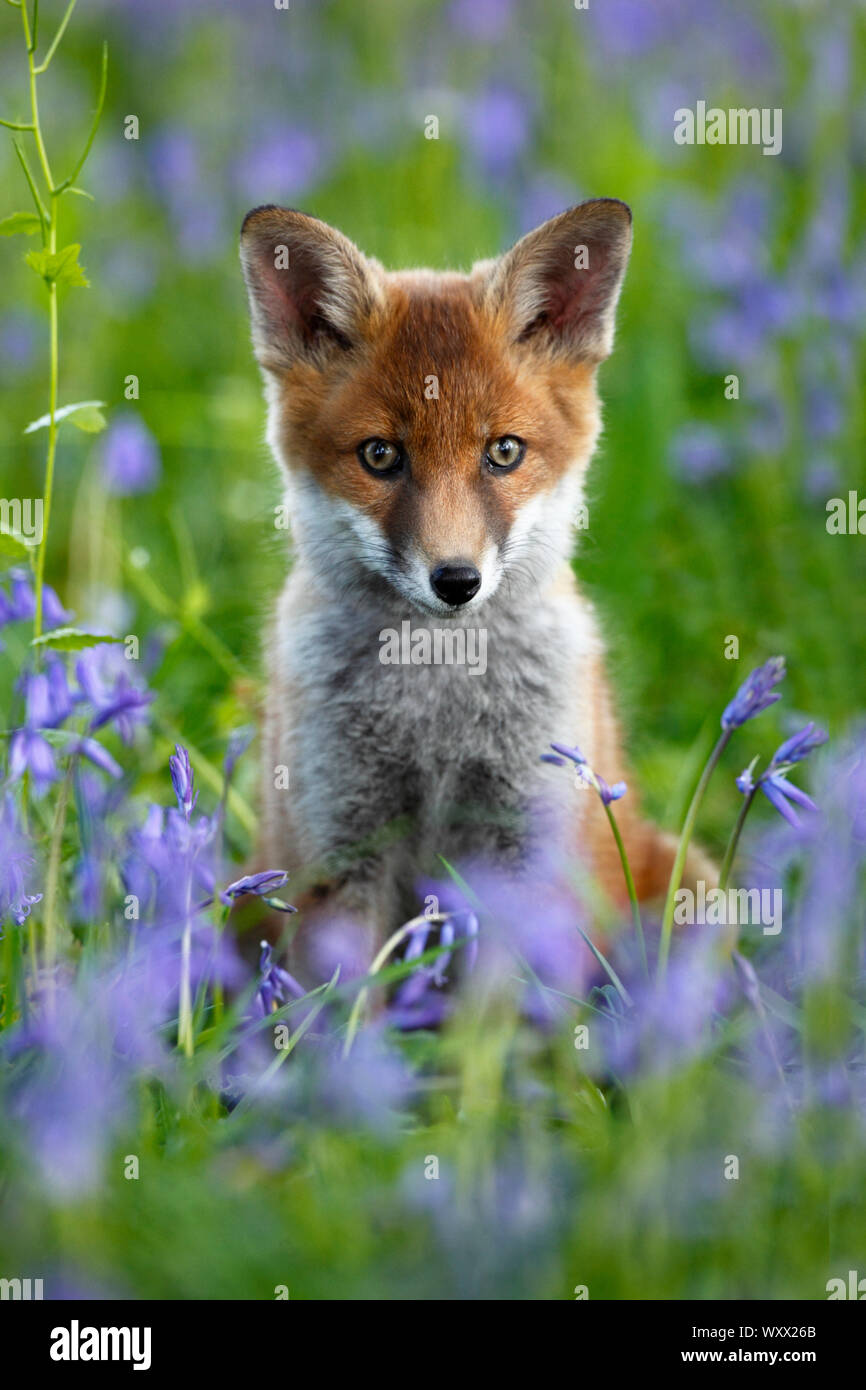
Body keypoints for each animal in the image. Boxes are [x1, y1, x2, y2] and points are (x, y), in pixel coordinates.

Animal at [239, 199, 712, 980]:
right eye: (381, 456)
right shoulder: (342, 846)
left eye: (504, 452)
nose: (457, 581)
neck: (438, 698)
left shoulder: (523, 845)